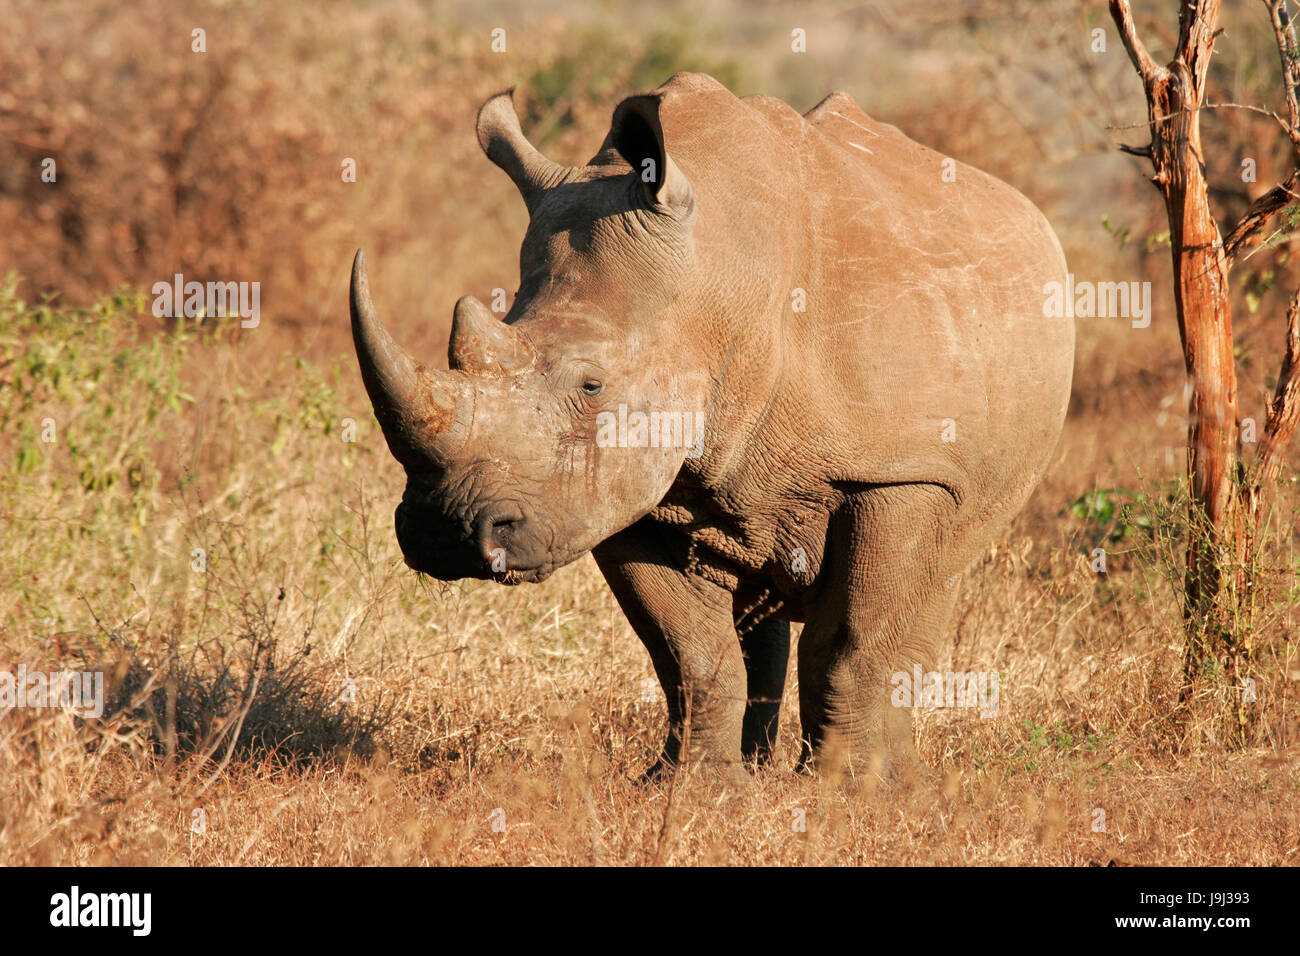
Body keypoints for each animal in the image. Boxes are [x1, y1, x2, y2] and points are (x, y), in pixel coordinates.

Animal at [349, 73, 1073, 781]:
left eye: (591, 386)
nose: (442, 532)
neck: (716, 287)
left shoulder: (900, 471)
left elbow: (856, 639)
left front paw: (851, 795)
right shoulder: (622, 489)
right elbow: (687, 648)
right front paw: (690, 791)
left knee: (928, 587)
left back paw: (891, 781)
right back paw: (756, 772)